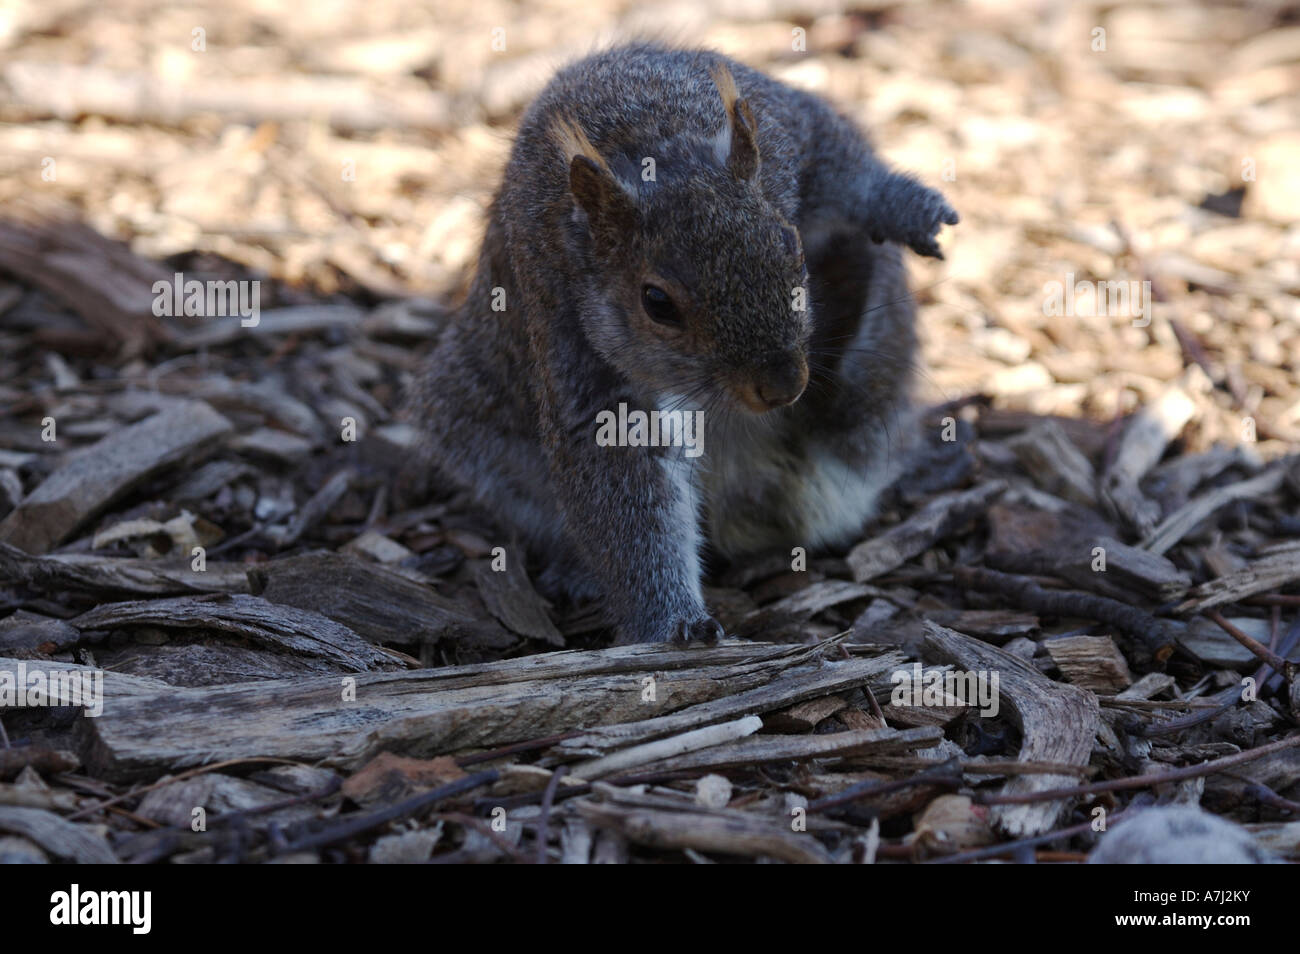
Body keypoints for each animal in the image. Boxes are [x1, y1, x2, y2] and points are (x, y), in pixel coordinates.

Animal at [408, 43, 957, 644]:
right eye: (657, 302)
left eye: (790, 244)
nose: (784, 385)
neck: (651, 140)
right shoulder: (565, 328)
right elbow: (618, 469)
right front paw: (673, 624)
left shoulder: (788, 134)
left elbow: (843, 161)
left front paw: (907, 208)